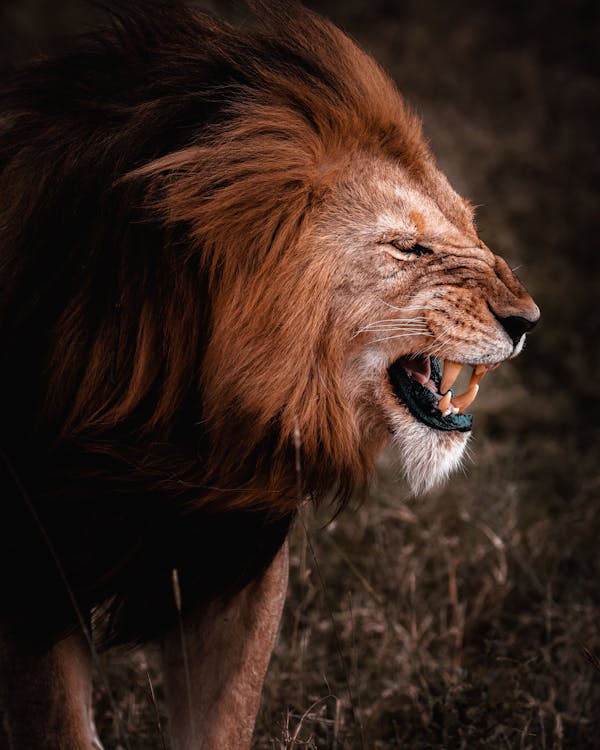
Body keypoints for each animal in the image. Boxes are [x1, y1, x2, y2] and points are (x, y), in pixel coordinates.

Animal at [0, 1, 539, 748]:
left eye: (466, 227)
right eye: (409, 247)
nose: (529, 319)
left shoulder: (236, 555)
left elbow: (222, 724)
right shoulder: (36, 576)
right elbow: (60, 727)